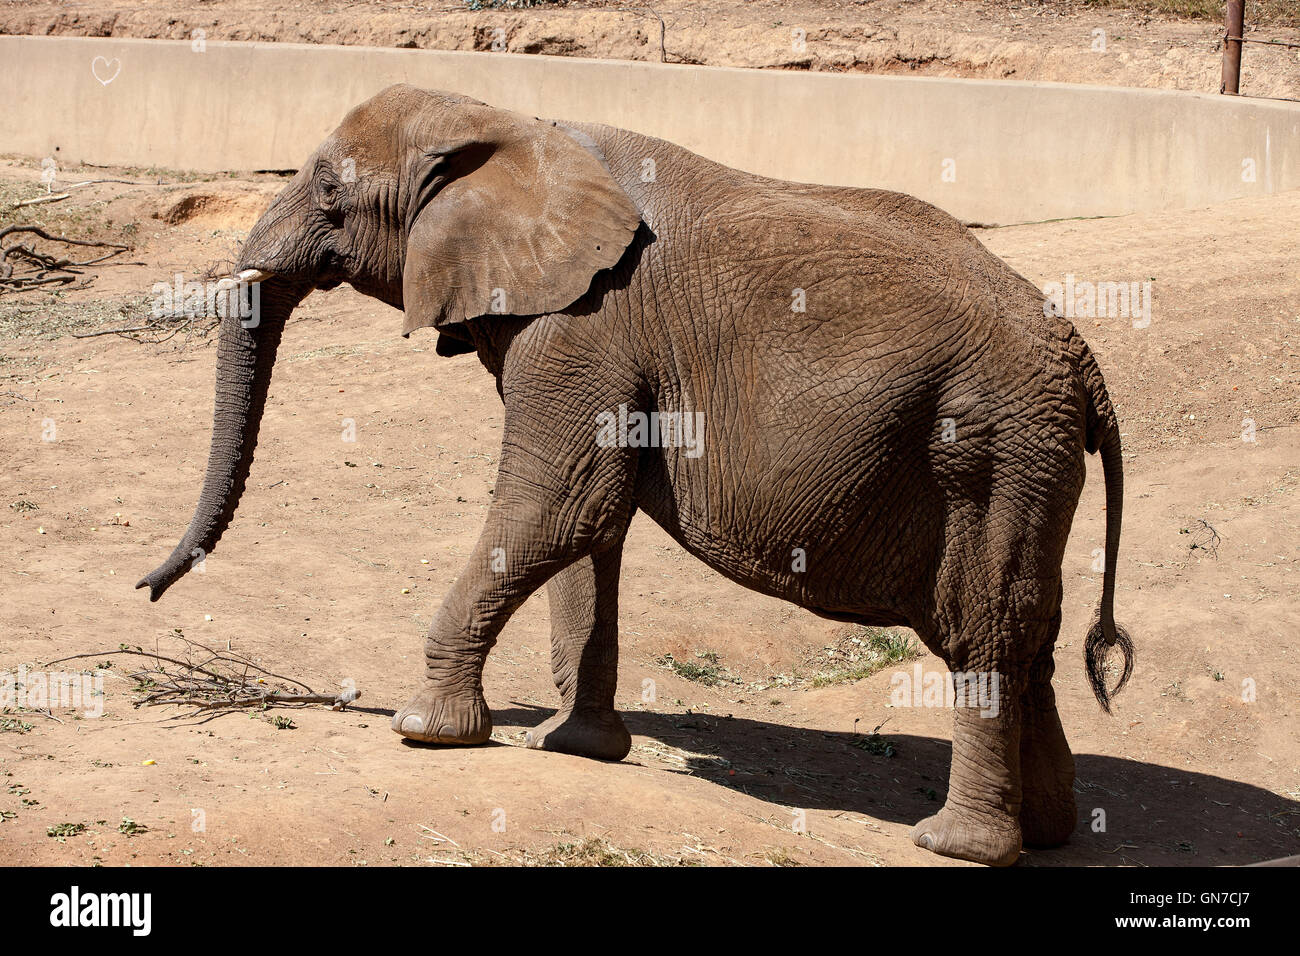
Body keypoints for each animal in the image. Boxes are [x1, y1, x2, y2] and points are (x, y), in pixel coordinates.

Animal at [138, 84, 1134, 866]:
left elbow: (557, 506)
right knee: (1029, 633)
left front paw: (426, 731)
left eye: (331, 191)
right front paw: (575, 748)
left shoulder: (584, 327)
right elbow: (589, 528)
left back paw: (955, 845)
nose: (147, 588)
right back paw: (1050, 833)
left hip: (991, 446)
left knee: (983, 629)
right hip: (1026, 458)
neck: (509, 120)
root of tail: (1086, 362)